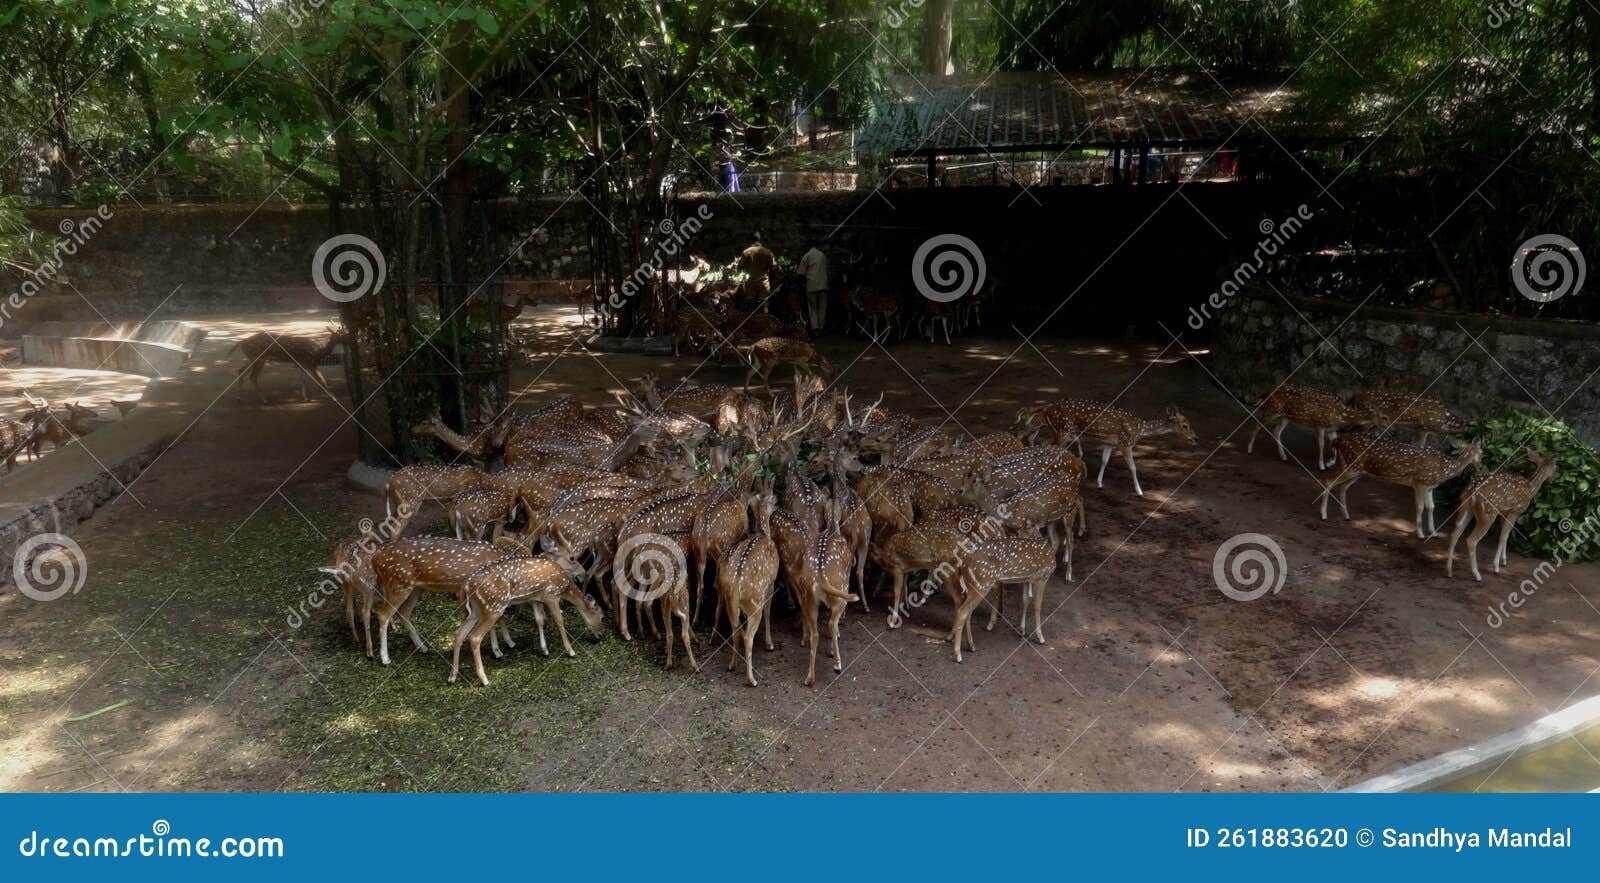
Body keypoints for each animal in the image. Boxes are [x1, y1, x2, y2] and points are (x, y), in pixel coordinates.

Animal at [448, 552, 602, 686]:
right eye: (602, 616)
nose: (602, 634)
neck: (565, 586)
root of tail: (466, 586)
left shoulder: (535, 599)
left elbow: (539, 621)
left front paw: (545, 650)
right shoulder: (551, 595)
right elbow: (559, 621)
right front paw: (571, 651)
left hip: (476, 610)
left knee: (459, 633)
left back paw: (452, 677)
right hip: (493, 607)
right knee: (474, 637)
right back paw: (484, 679)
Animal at [1019, 400, 1197, 496]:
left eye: (1189, 422)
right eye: (1185, 425)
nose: (1195, 438)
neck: (1140, 429)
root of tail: (1047, 408)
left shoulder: (1109, 443)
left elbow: (1104, 461)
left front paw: (1099, 483)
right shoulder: (1125, 443)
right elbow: (1133, 467)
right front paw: (1140, 491)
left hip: (1060, 431)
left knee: (1043, 442)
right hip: (1064, 431)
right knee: (1047, 445)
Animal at [1318, 433, 1483, 538]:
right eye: (1480, 452)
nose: (1481, 465)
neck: (1444, 469)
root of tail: (1338, 440)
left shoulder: (1430, 486)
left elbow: (1431, 507)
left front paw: (1434, 533)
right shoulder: (1419, 482)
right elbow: (1420, 507)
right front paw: (1420, 534)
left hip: (1357, 471)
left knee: (1342, 487)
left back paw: (1346, 516)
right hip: (1350, 466)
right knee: (1328, 481)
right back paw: (1324, 515)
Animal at [1447, 450, 1561, 581]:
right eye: (1555, 467)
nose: (1553, 480)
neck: (1531, 489)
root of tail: (1471, 490)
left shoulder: (1504, 512)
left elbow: (1505, 535)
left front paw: (1504, 560)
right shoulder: (1516, 510)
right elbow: (1503, 536)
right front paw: (1496, 567)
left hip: (1465, 508)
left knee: (1454, 533)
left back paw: (1449, 571)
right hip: (1488, 513)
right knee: (1471, 540)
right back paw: (1477, 575)